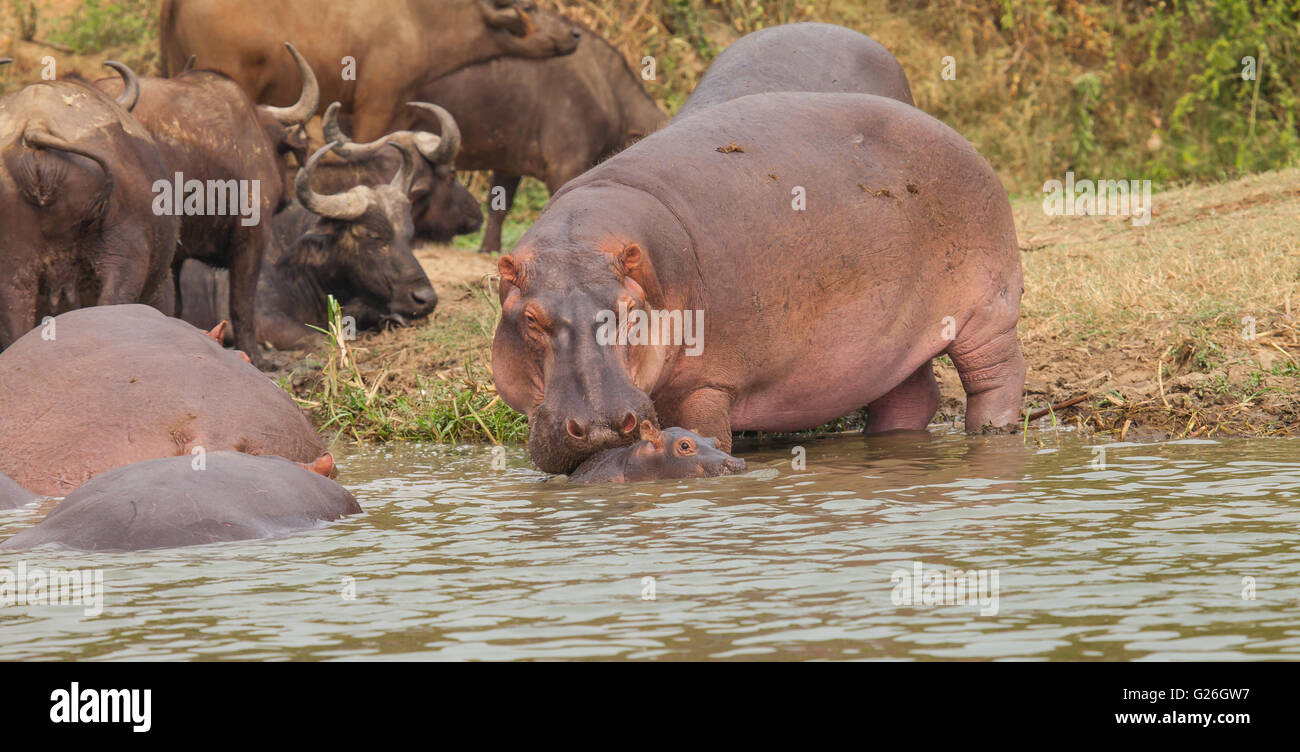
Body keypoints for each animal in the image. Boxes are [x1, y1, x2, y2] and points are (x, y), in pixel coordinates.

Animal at [491, 92, 1025, 474]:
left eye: (627, 310)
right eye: (531, 319)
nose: (600, 427)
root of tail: (962, 139)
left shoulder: (708, 382)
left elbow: (708, 429)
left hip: (987, 311)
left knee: (996, 375)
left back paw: (992, 434)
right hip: (893, 341)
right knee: (911, 396)